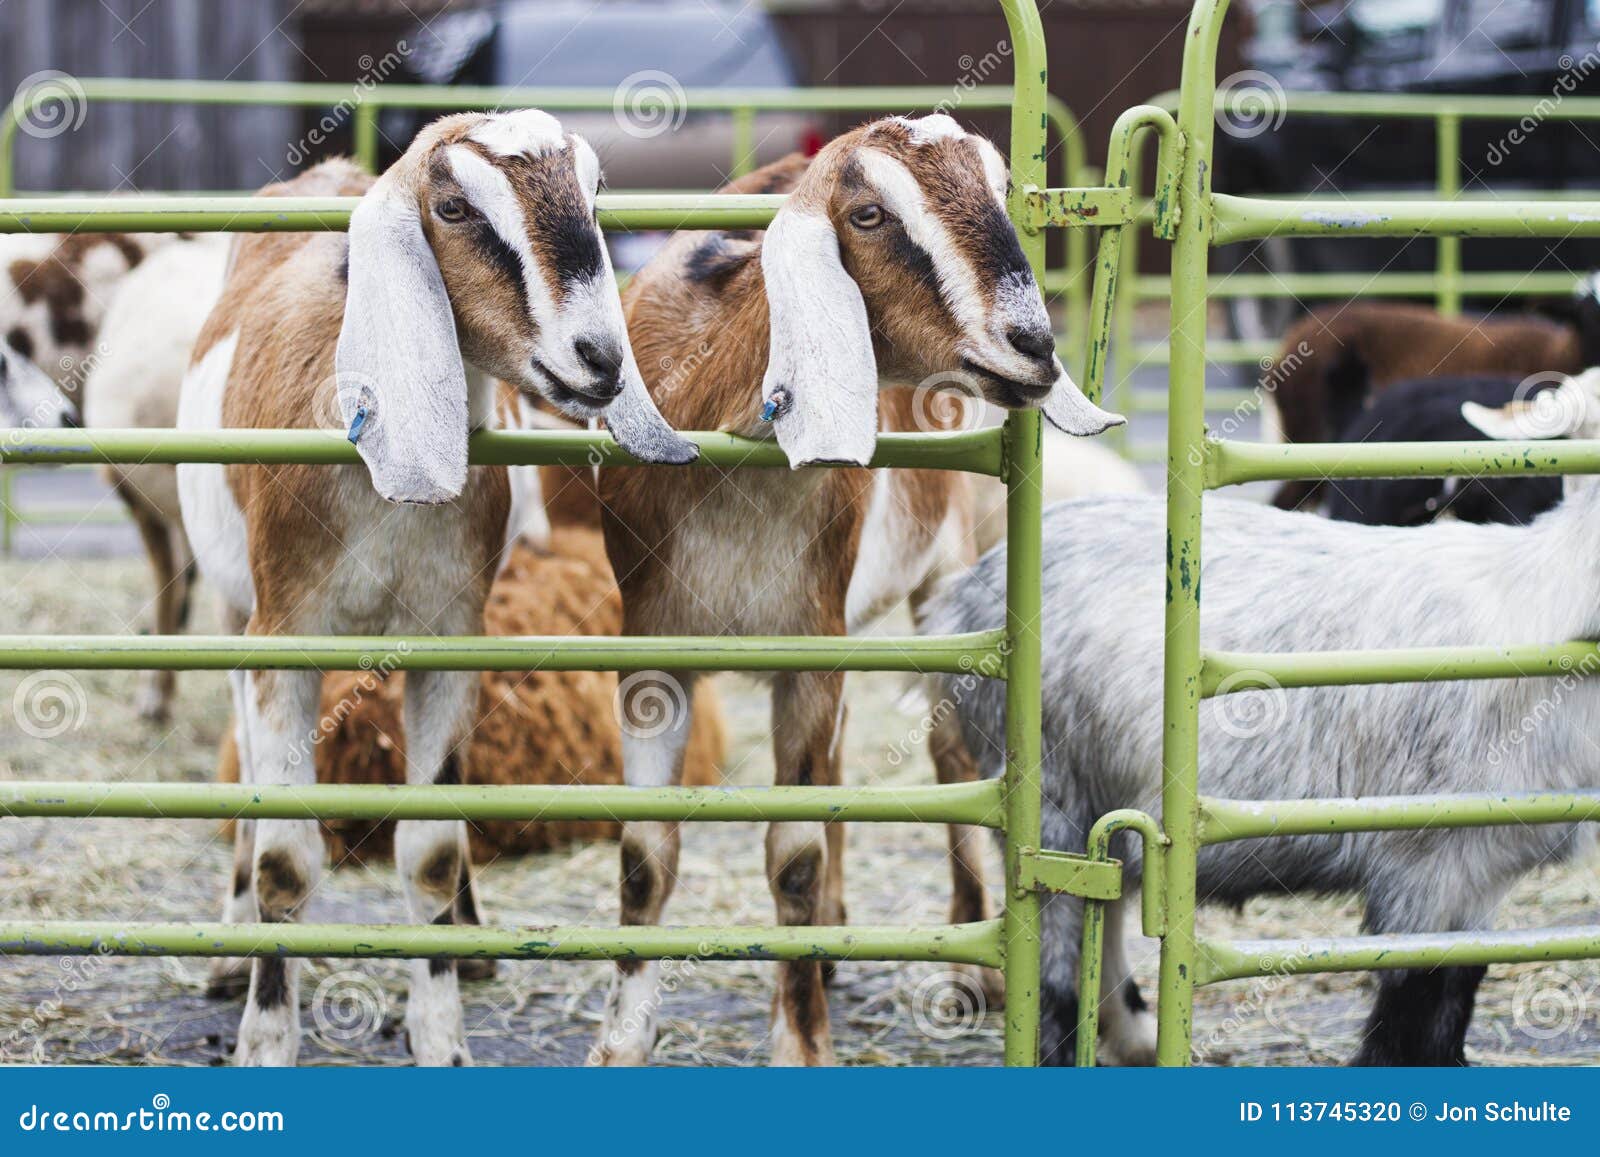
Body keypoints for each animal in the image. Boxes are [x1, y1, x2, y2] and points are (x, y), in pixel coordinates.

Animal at [175, 111, 694, 1067]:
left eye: (594, 191)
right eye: (452, 207)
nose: (599, 357)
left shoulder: (447, 642)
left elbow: (431, 849)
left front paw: (442, 1034)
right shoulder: (283, 637)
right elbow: (284, 856)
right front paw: (265, 1037)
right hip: (235, 613)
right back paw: (230, 948)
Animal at [594, 115, 1122, 1067]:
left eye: (1000, 188)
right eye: (868, 214)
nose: (1033, 343)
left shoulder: (813, 640)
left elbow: (793, 853)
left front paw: (801, 1042)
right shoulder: (653, 650)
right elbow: (645, 854)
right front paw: (620, 1041)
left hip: (945, 577)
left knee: (951, 759)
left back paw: (970, 967)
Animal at [924, 475, 1600, 1065]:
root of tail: (964, 597)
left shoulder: (1478, 880)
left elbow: (1453, 998)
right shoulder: (1427, 869)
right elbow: (1412, 1022)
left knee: (1104, 901)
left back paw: (1132, 1035)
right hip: (1051, 795)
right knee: (1057, 954)